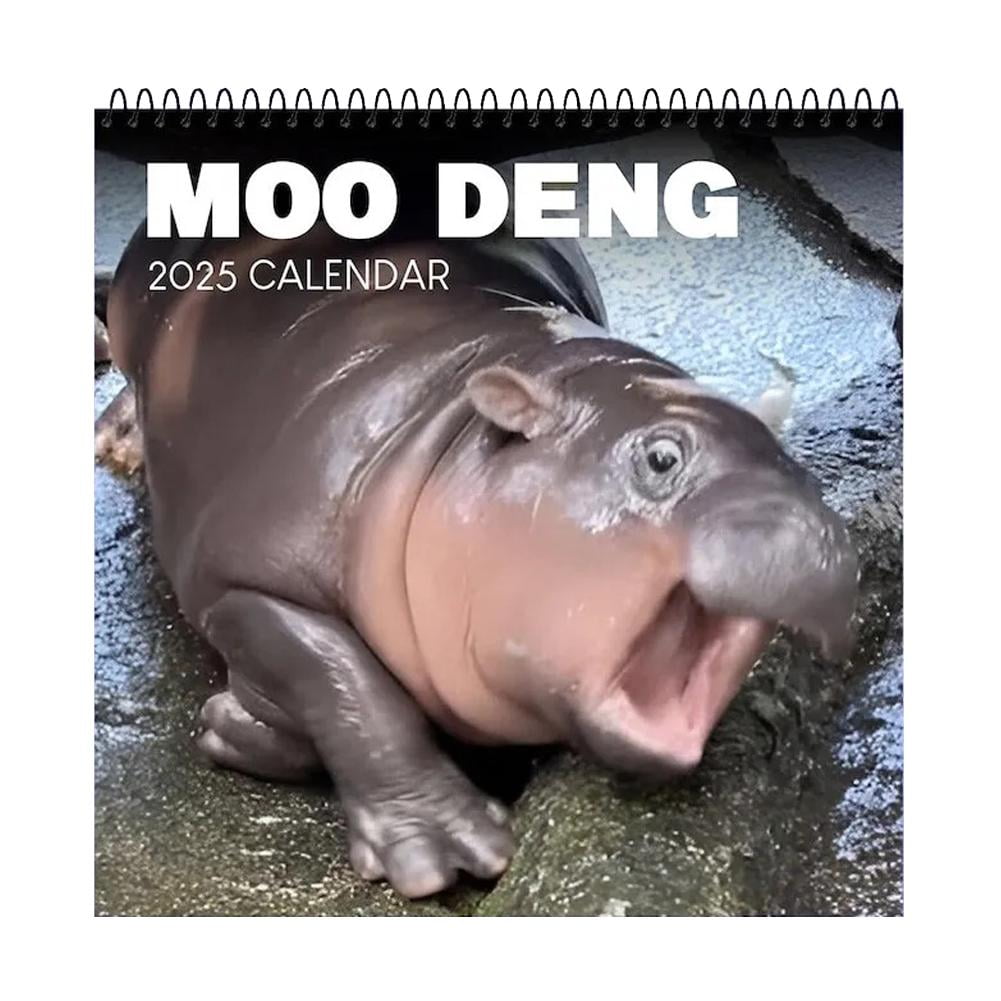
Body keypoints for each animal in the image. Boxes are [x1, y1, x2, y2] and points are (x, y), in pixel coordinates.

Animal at [96, 222, 858, 898]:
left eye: (791, 460)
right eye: (661, 456)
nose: (819, 532)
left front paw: (236, 727)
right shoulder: (243, 579)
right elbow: (347, 680)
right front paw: (445, 851)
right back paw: (121, 440)